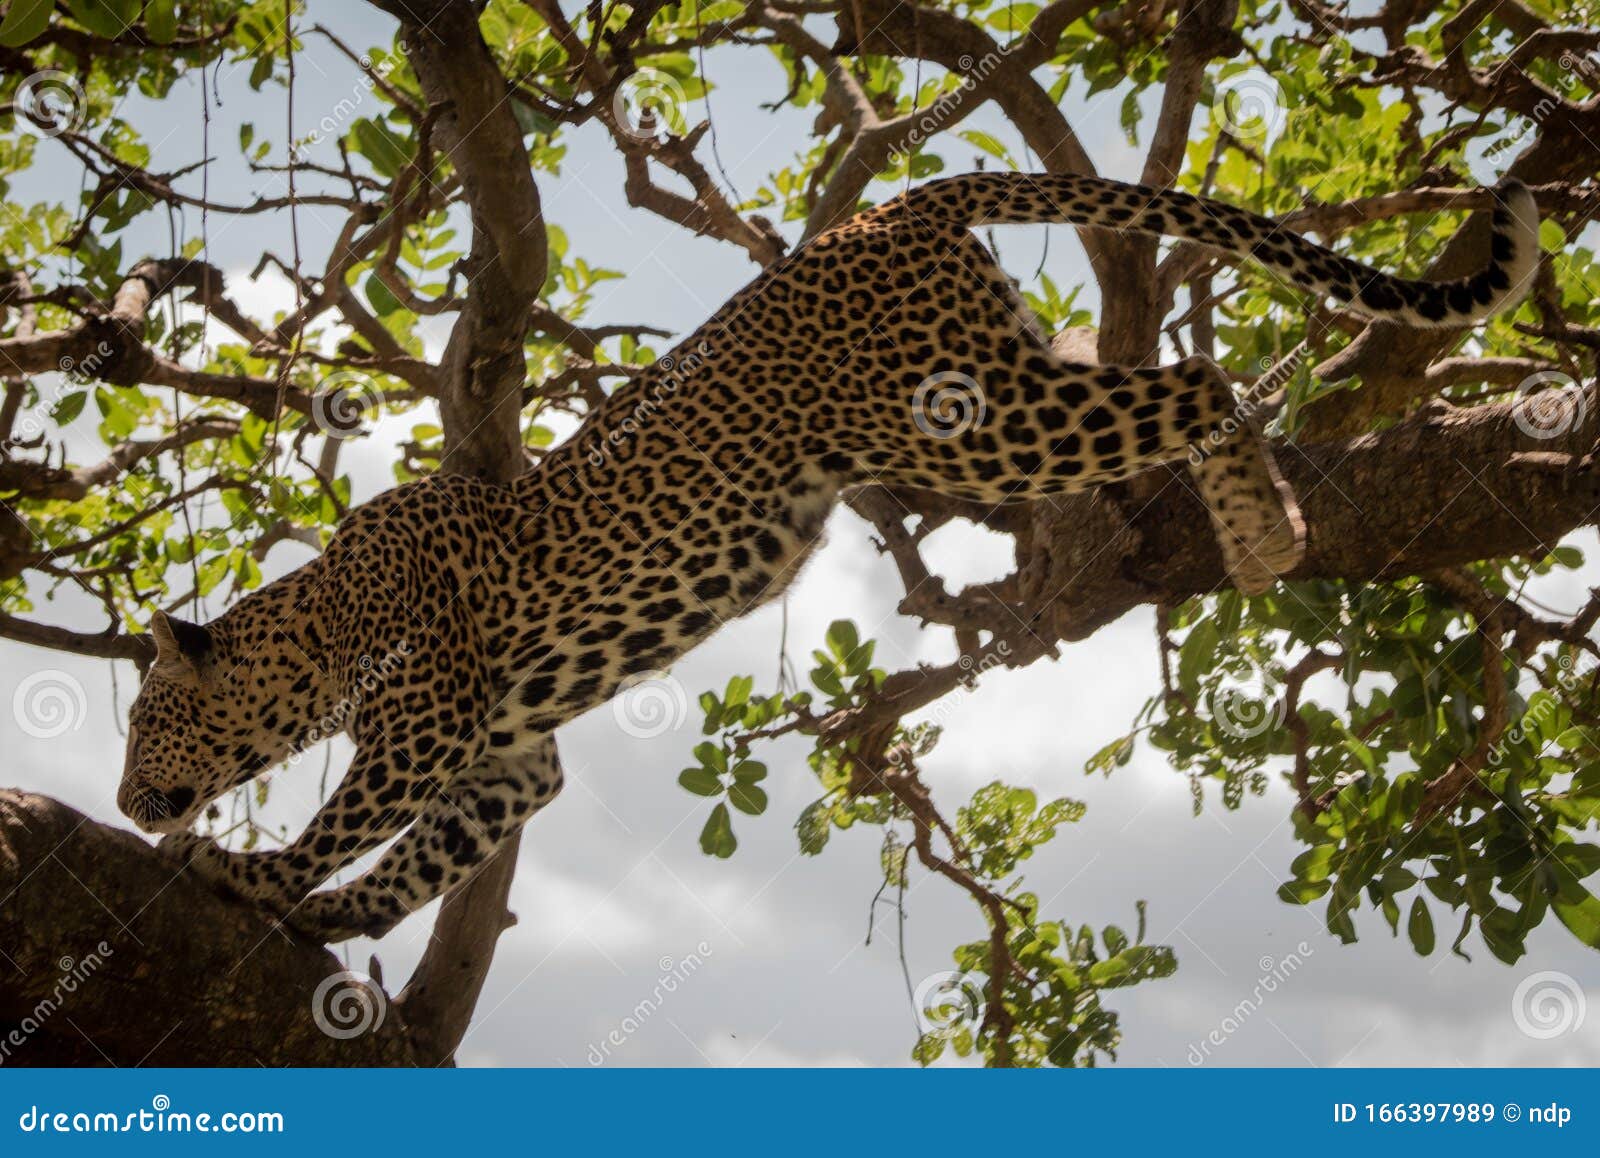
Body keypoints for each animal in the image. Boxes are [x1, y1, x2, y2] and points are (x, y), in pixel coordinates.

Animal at [117, 172, 1539, 942]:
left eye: (140, 724)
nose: (128, 800)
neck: (317, 625)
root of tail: (890, 210)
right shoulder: (506, 758)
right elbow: (422, 856)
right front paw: (325, 918)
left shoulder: (422, 724)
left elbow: (342, 819)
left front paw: (244, 872)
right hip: (1003, 383)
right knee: (1156, 372)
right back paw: (1262, 533)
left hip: (975, 427)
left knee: (1197, 381)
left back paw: (1262, 533)